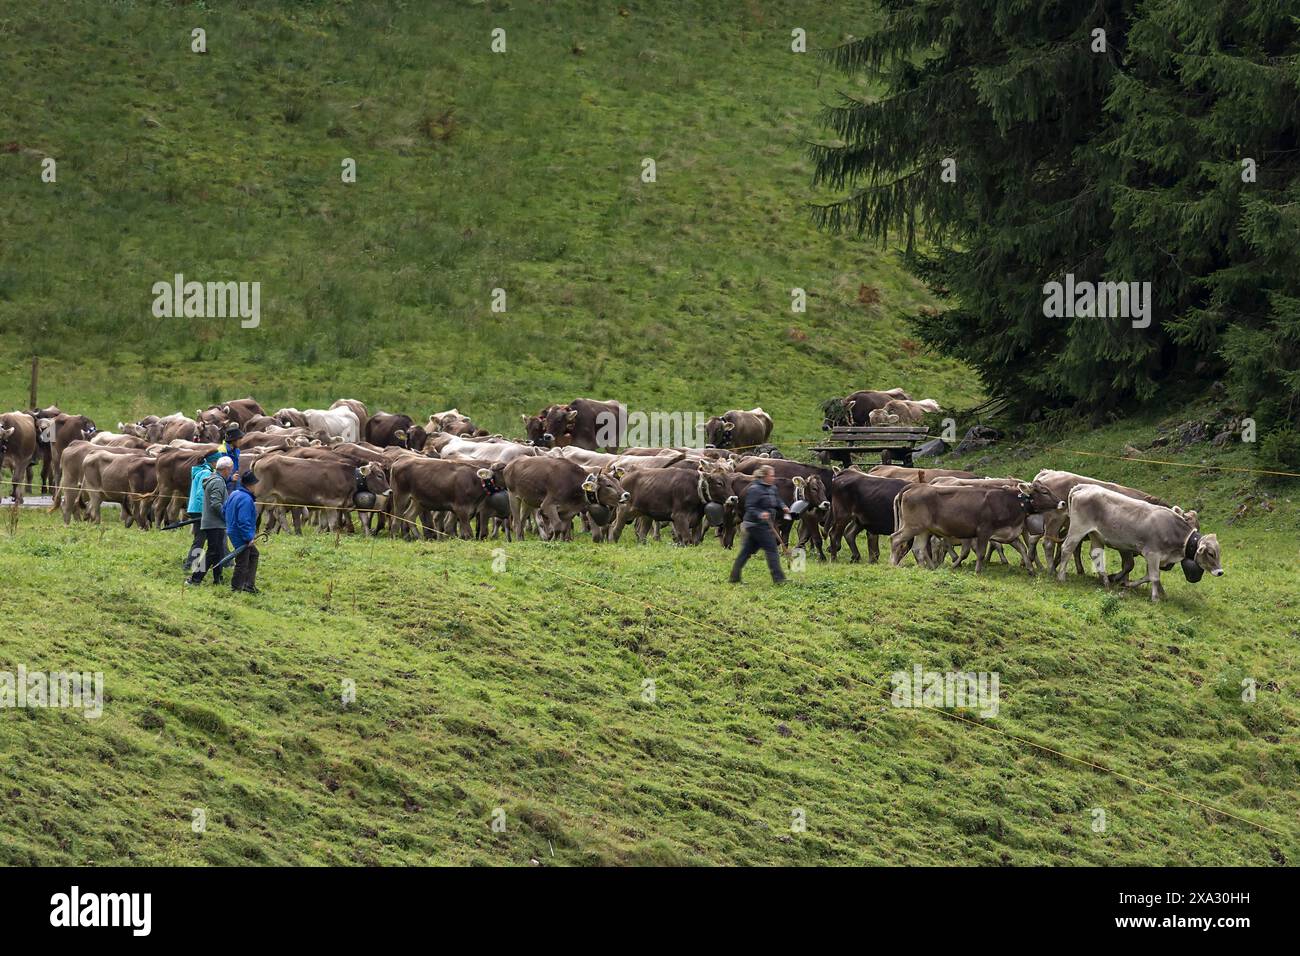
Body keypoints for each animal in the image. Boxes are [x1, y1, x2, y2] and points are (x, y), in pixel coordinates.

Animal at [891, 480, 1065, 572]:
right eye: (1044, 492)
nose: (1062, 502)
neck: (1011, 502)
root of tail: (915, 486)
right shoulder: (983, 531)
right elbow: (980, 553)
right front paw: (977, 571)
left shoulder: (1008, 533)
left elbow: (1022, 548)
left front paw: (1030, 569)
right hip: (912, 526)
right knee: (895, 539)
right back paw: (892, 563)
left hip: (923, 530)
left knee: (918, 548)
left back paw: (926, 568)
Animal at [1057, 484, 1222, 601]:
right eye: (1210, 553)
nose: (1220, 572)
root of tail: (1084, 486)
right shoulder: (1152, 554)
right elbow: (1154, 577)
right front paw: (1155, 598)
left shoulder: (1155, 557)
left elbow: (1148, 576)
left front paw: (1126, 584)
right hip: (1078, 529)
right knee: (1067, 548)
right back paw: (1061, 577)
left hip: (1096, 534)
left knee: (1095, 555)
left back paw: (1106, 582)